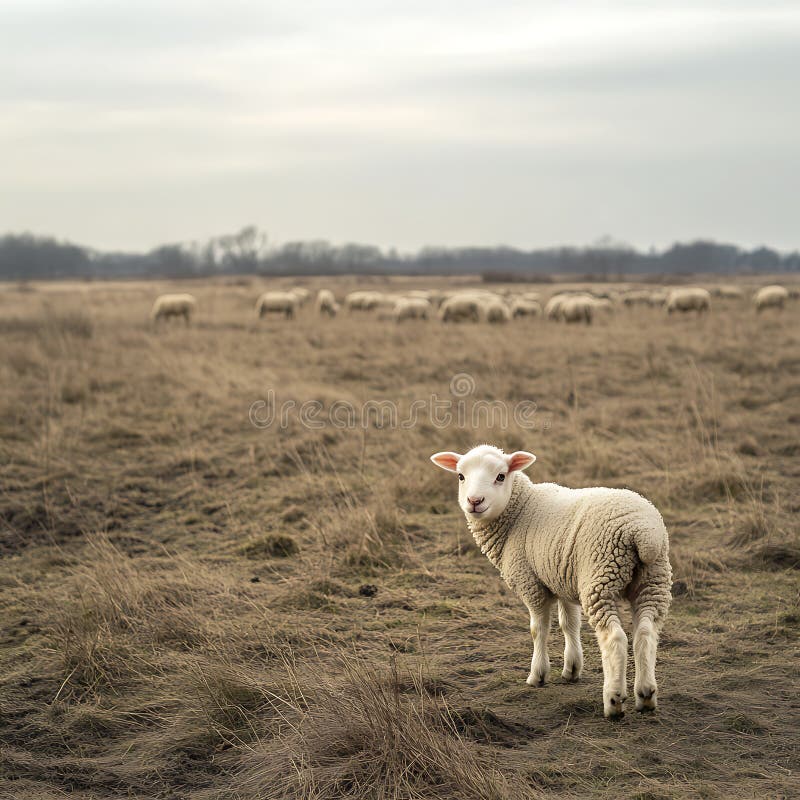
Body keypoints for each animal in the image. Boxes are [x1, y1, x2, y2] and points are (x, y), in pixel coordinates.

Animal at [431, 444, 671, 718]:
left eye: (500, 476)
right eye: (461, 476)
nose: (474, 501)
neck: (519, 510)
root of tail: (642, 533)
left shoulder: (530, 582)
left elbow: (539, 629)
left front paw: (537, 675)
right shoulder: (564, 577)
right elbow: (570, 624)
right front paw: (572, 669)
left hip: (600, 576)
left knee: (615, 638)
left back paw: (613, 701)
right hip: (652, 580)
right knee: (646, 632)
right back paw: (646, 696)